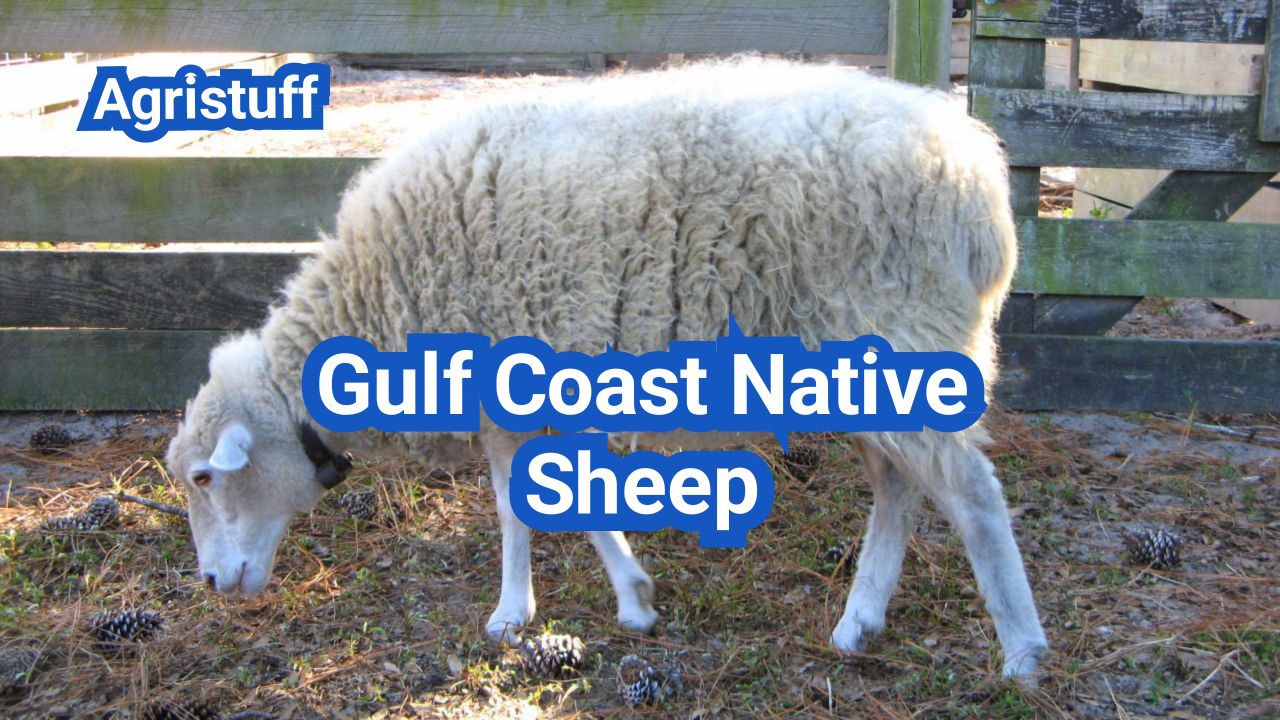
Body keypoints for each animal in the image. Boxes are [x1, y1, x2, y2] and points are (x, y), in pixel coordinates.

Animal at [165, 57, 1047, 681]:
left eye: (206, 479)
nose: (209, 585)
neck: (382, 300)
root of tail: (978, 175)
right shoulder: (497, 402)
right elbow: (511, 507)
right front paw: (513, 613)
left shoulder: (546, 367)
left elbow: (570, 500)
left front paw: (635, 600)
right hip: (873, 365)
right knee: (899, 486)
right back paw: (859, 624)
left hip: (900, 335)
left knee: (972, 494)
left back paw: (1023, 653)